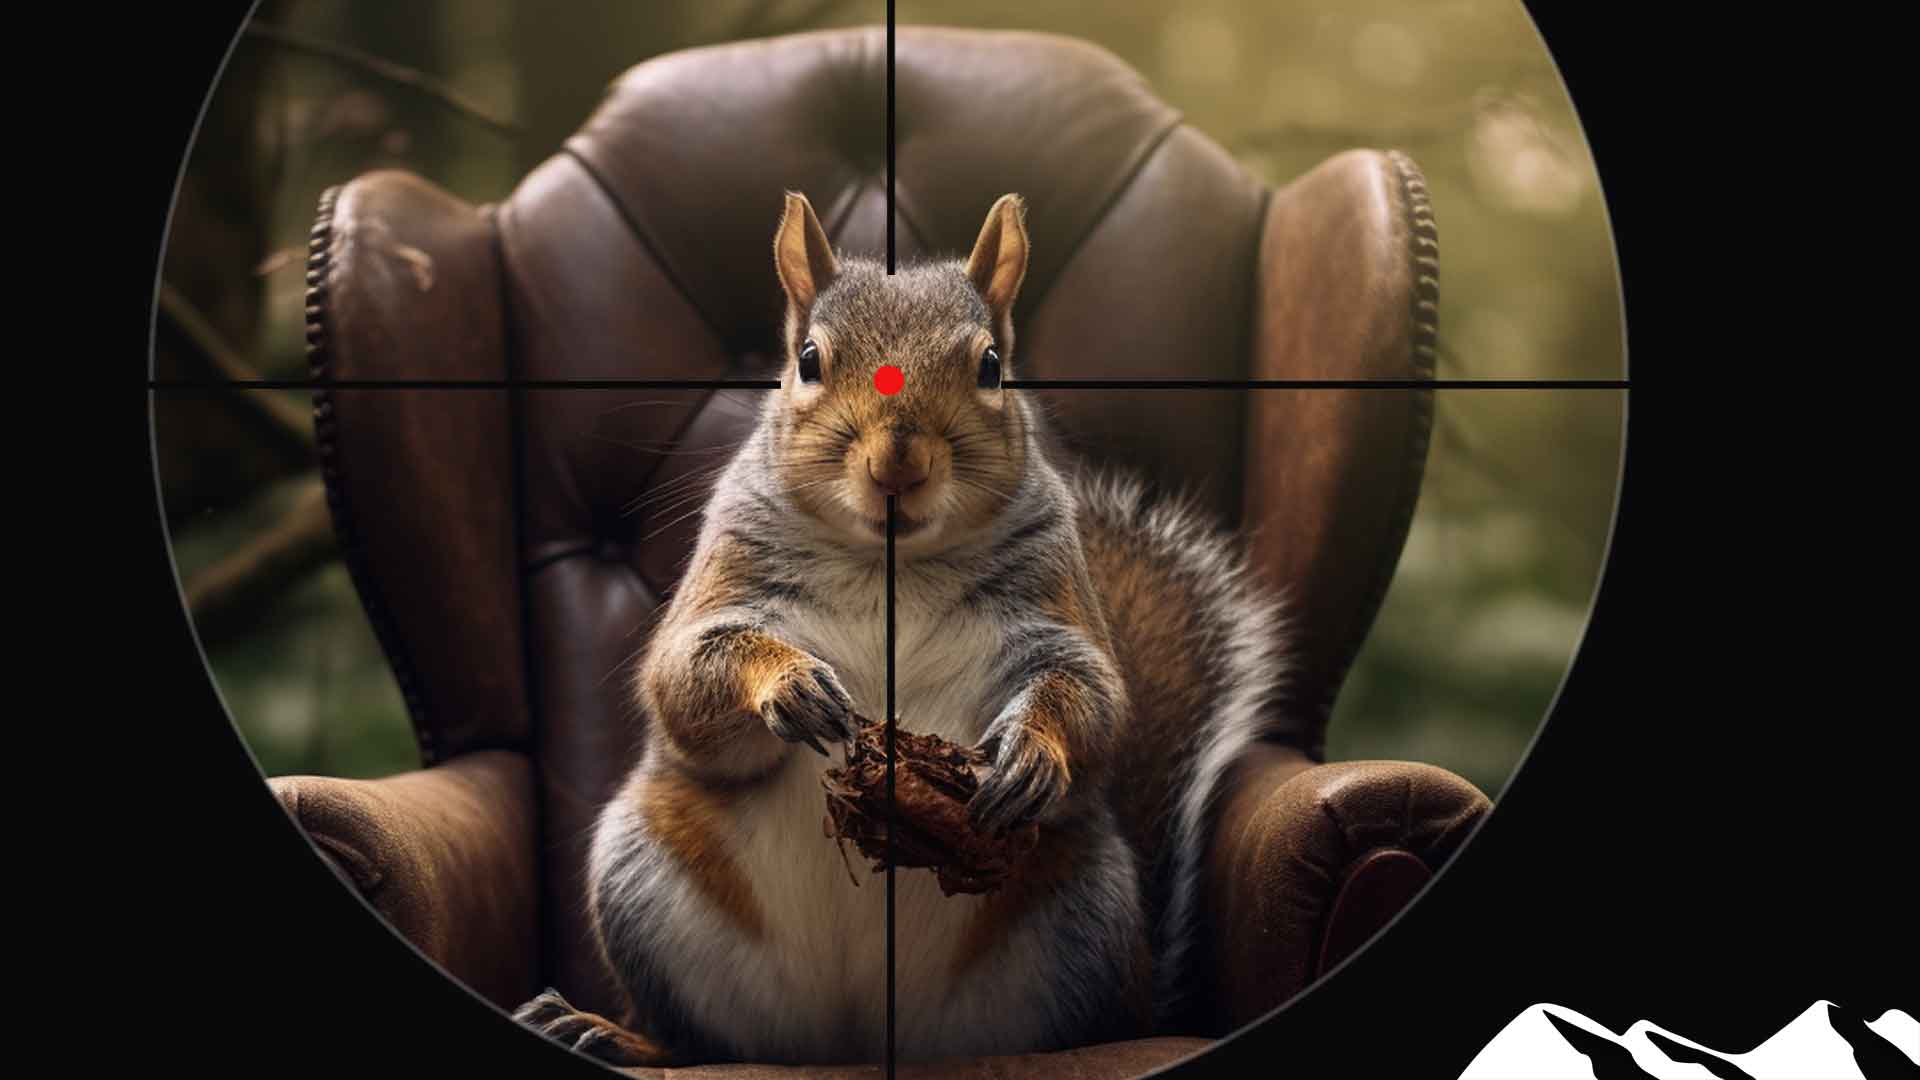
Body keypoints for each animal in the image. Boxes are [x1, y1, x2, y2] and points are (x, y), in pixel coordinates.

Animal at [512, 191, 1291, 1067]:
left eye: (990, 366)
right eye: (808, 360)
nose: (898, 464)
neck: (888, 564)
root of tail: (853, 1039)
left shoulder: (1053, 608)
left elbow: (1091, 696)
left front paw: (1035, 750)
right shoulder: (724, 584)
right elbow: (684, 681)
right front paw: (788, 684)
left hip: (1083, 914)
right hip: (642, 875)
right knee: (694, 1040)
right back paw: (612, 1035)